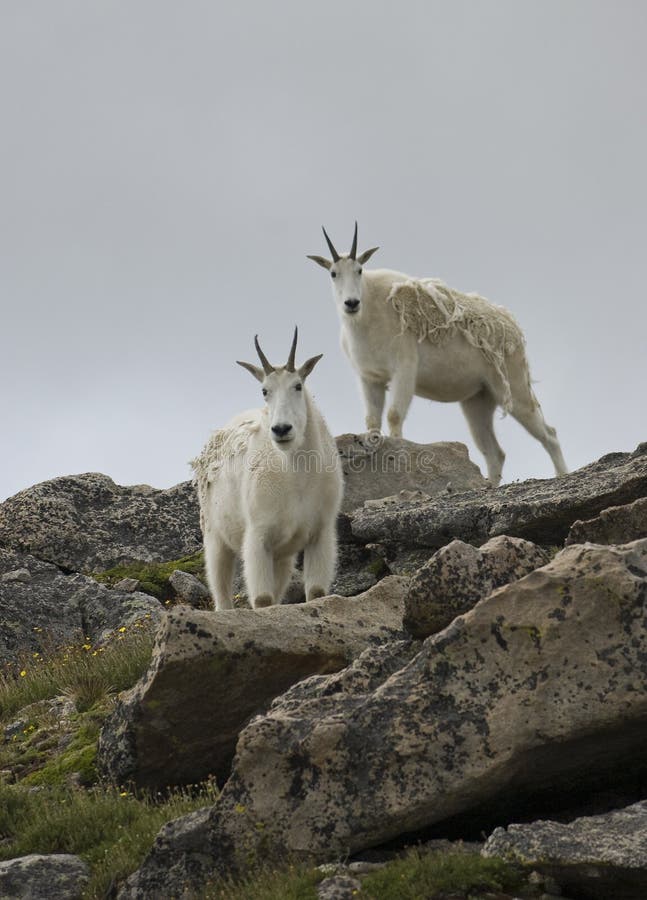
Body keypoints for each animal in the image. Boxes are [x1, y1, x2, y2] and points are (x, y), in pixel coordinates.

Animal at [191, 328, 343, 610]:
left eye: (298, 385)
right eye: (264, 390)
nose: (281, 429)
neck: (297, 474)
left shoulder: (321, 532)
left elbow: (316, 592)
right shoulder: (258, 536)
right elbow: (263, 600)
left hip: (281, 556)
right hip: (215, 536)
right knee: (221, 590)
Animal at [308, 223, 567, 486]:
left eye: (359, 270)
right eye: (333, 273)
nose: (351, 303)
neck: (367, 318)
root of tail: (512, 328)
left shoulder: (404, 369)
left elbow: (394, 416)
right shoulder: (370, 378)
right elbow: (372, 422)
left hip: (514, 387)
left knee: (549, 434)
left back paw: (562, 474)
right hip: (478, 399)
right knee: (494, 452)